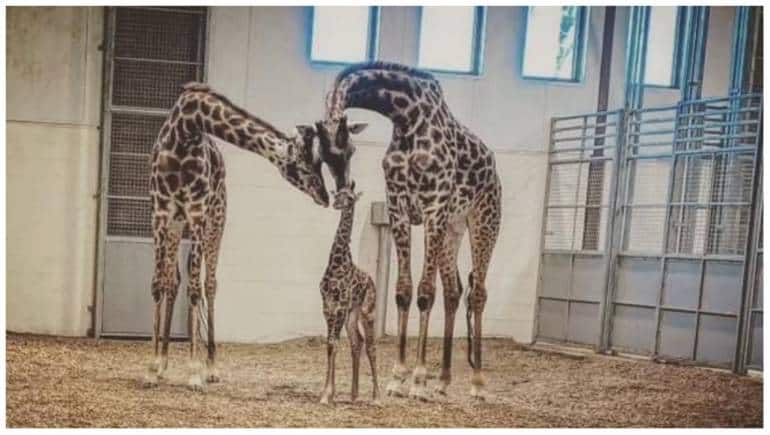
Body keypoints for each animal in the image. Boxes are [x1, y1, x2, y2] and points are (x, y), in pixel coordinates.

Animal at [142, 82, 330, 391]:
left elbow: (195, 289)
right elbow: (158, 284)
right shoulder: (160, 213)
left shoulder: (197, 213)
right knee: (173, 280)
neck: (186, 128)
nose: (325, 197)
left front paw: (194, 373)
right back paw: (164, 365)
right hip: (177, 225)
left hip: (216, 219)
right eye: (303, 166)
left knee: (209, 284)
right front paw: (151, 368)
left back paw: (210, 367)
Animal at [318, 180, 379, 404]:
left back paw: (377, 396)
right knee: (357, 342)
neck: (336, 263)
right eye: (338, 194)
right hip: (352, 314)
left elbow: (334, 344)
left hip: (367, 311)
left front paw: (327, 394)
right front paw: (329, 393)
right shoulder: (328, 305)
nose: (337, 204)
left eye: (350, 197)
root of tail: (372, 281)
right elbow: (330, 344)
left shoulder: (341, 305)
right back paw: (354, 394)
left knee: (370, 346)